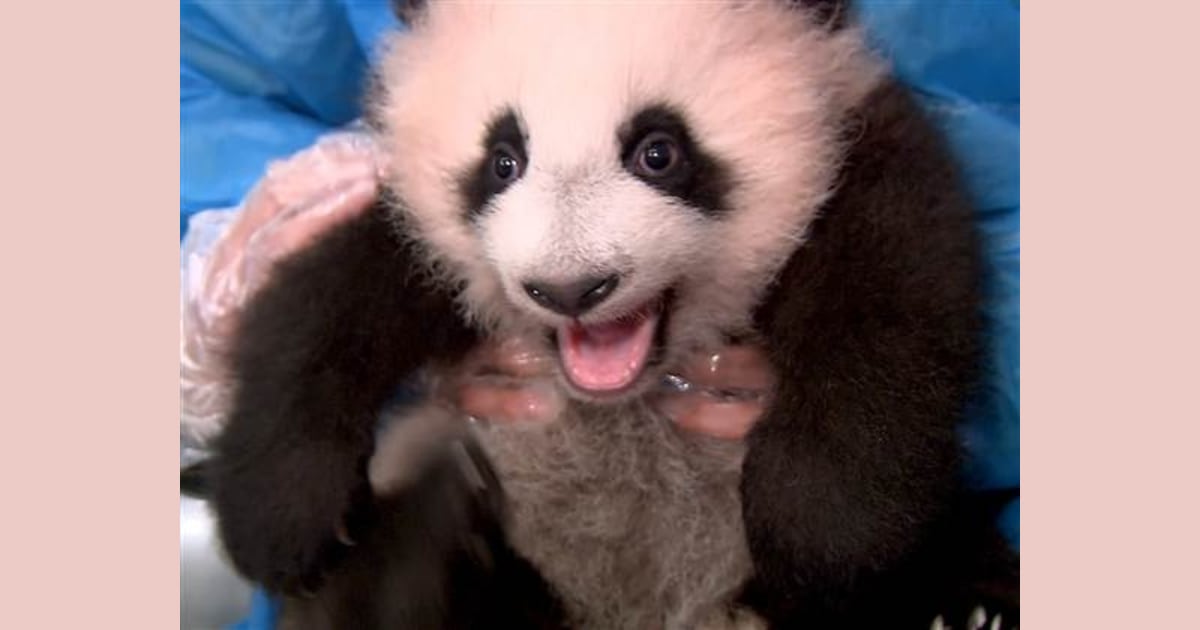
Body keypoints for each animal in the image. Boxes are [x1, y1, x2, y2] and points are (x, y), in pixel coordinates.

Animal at [204, 1, 1019, 628]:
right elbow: (323, 305)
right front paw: (282, 514)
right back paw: (430, 541)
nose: (569, 288)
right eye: (503, 160)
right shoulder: (431, 241)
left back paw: (966, 606)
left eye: (659, 151)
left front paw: (824, 531)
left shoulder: (863, 148)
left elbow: (891, 304)